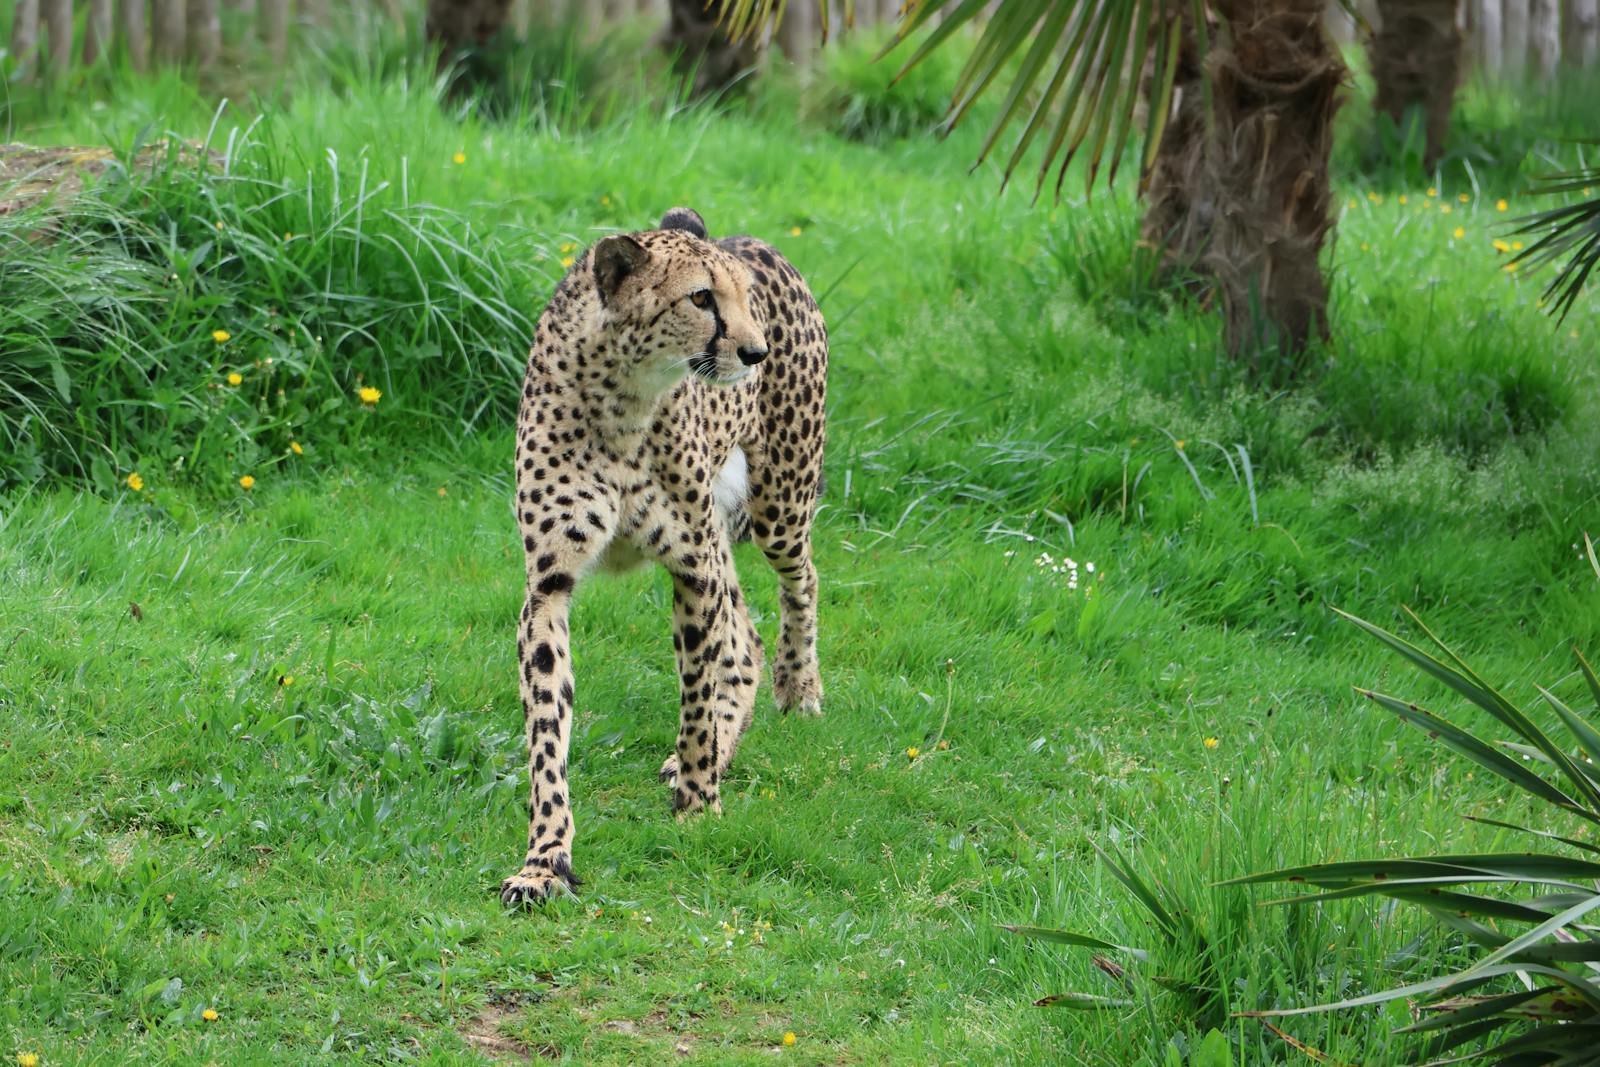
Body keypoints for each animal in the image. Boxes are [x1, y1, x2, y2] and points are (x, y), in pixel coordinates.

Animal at [500, 207, 829, 906]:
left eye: (742, 298)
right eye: (701, 298)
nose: (755, 352)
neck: (625, 396)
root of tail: (754, 239)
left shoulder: (692, 565)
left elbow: (697, 697)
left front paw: (699, 807)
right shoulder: (548, 584)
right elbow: (547, 729)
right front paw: (545, 859)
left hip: (779, 505)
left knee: (800, 582)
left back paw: (798, 688)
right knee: (744, 638)